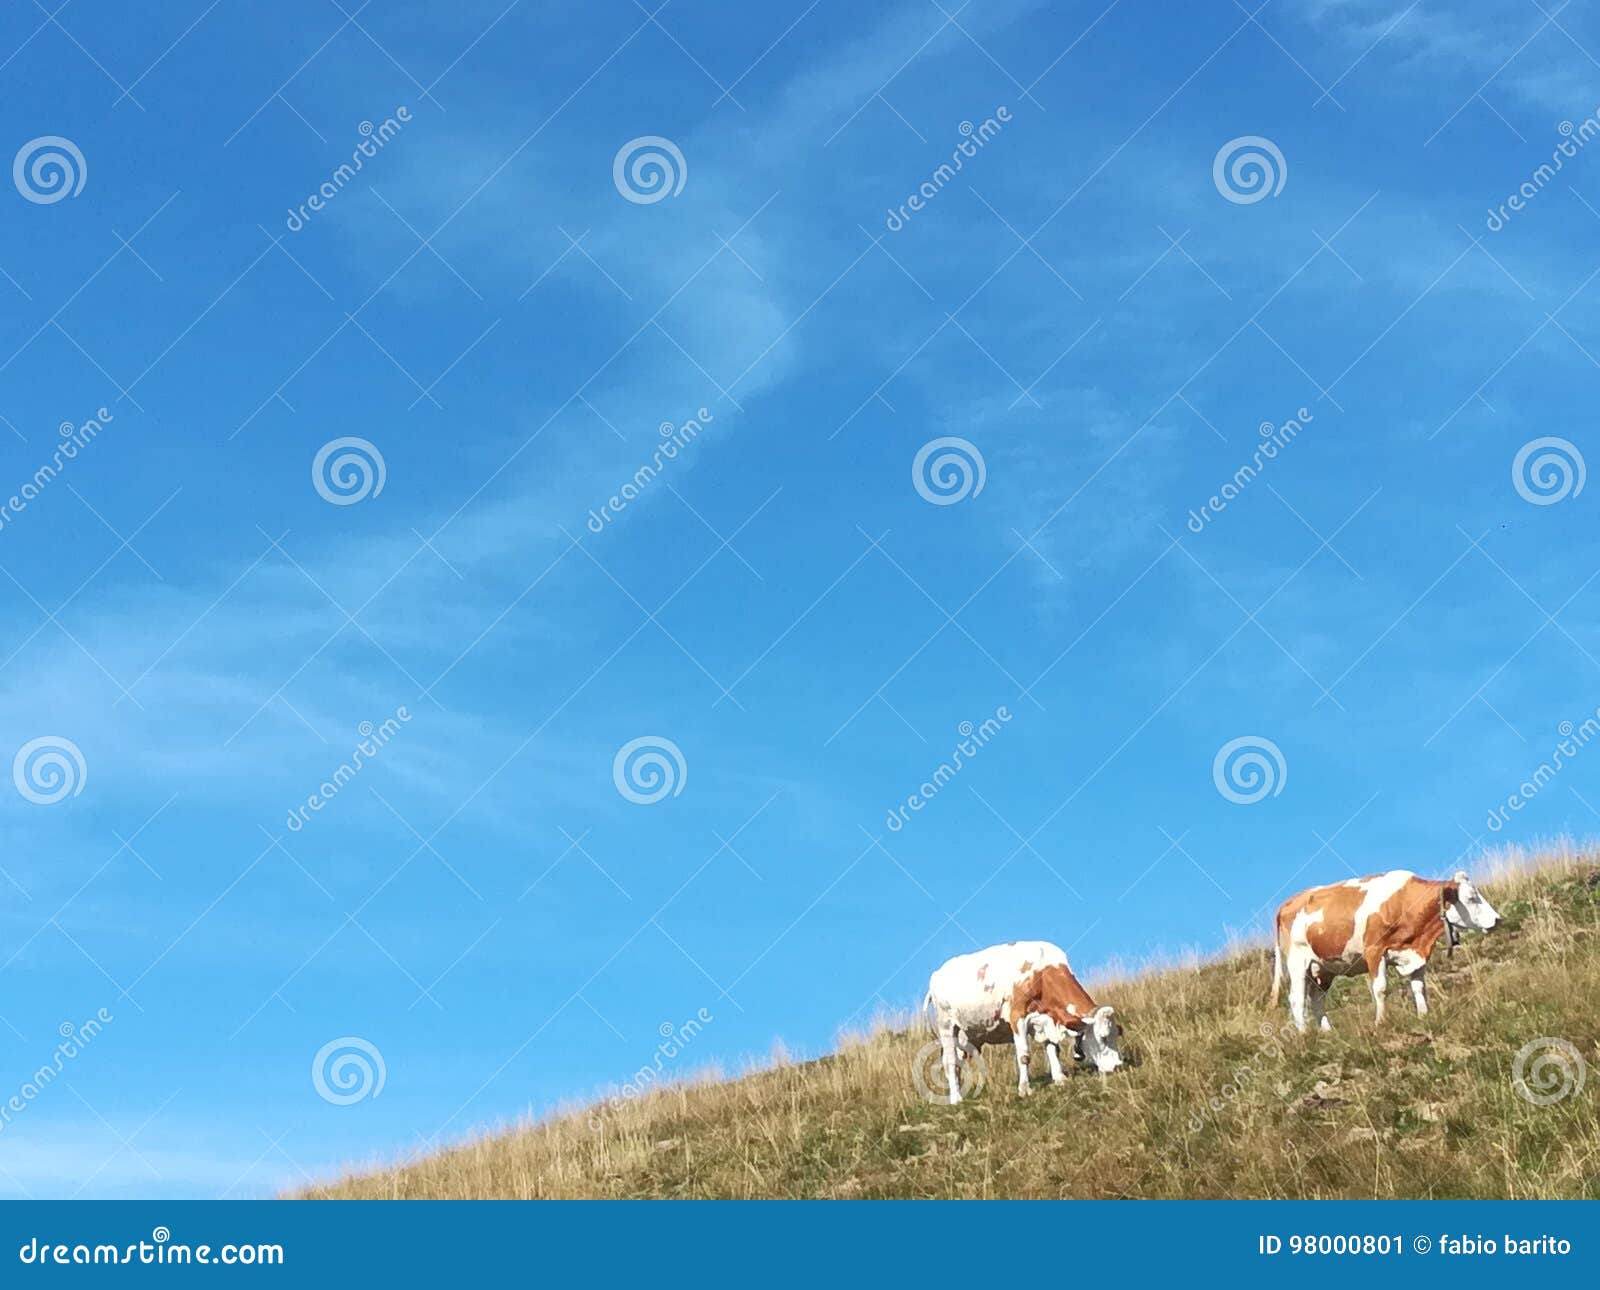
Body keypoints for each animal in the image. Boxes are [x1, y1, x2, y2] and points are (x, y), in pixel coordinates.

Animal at [924, 940, 1123, 1103]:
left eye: (1117, 1035)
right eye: (1103, 1037)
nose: (1117, 1066)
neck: (1042, 973)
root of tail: (937, 974)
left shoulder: (1045, 1020)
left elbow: (1053, 1048)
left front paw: (1059, 1079)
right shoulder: (1017, 1017)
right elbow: (1024, 1056)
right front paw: (1024, 1089)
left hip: (967, 1034)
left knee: (957, 1060)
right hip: (946, 1025)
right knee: (949, 1061)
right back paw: (956, 1098)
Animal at [1269, 869, 1500, 1032]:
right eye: (1471, 898)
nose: (1498, 919)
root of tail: (1288, 902)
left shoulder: (1414, 955)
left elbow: (1419, 987)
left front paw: (1423, 1015)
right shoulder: (1374, 951)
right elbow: (1380, 989)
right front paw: (1381, 1021)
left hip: (1323, 969)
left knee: (1316, 999)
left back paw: (1328, 1032)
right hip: (1297, 962)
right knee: (1297, 999)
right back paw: (1304, 1034)